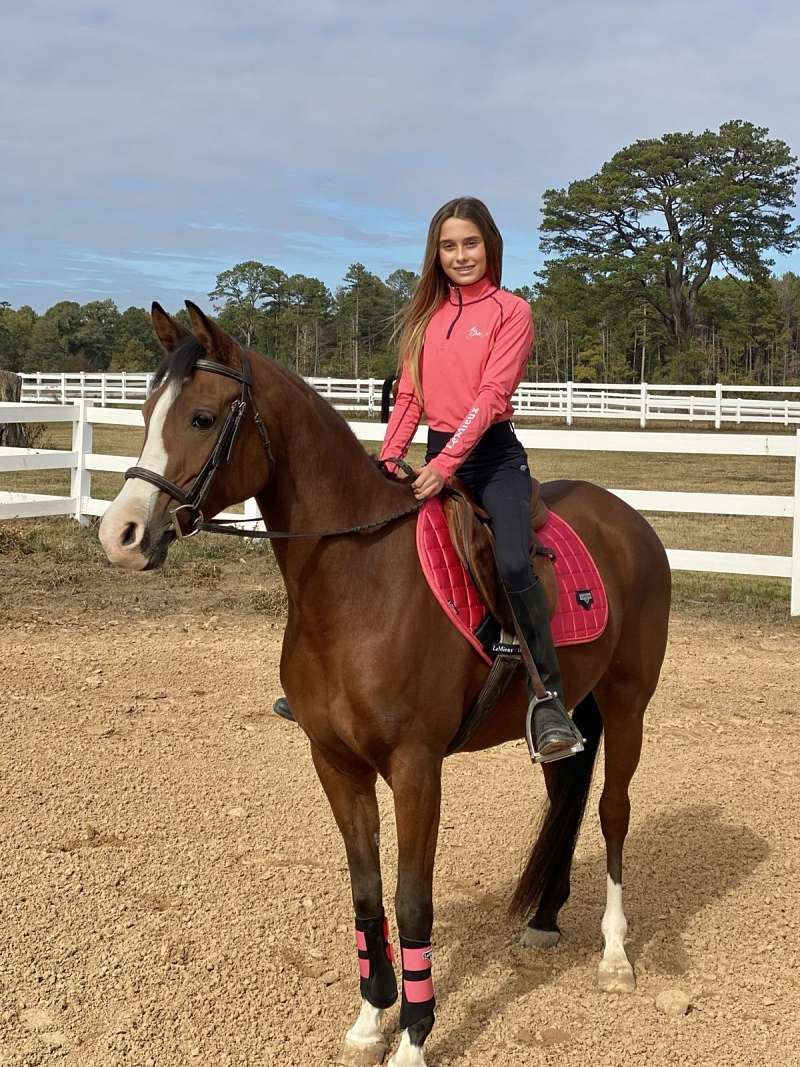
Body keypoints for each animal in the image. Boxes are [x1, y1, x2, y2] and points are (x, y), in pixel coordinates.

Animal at [98, 302, 671, 1067]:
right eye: (144, 411)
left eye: (200, 417)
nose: (121, 535)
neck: (358, 581)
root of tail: (628, 519)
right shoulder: (336, 764)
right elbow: (367, 895)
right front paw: (373, 1017)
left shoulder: (416, 768)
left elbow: (410, 900)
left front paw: (415, 1037)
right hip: (568, 712)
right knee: (564, 798)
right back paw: (546, 919)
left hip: (628, 703)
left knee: (612, 811)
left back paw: (614, 955)